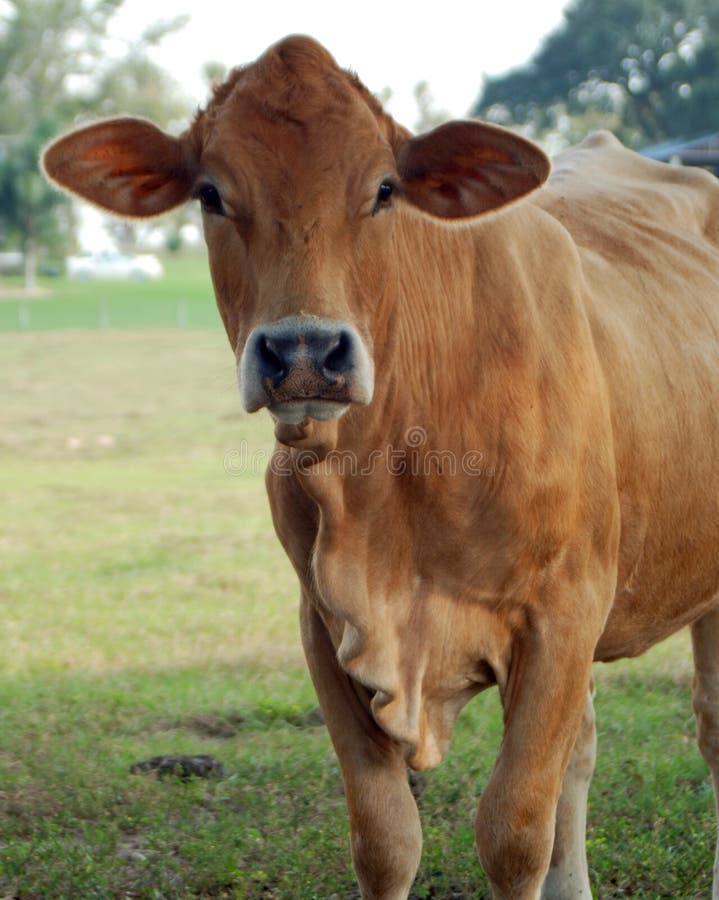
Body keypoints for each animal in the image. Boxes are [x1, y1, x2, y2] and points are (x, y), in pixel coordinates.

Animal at [42, 35, 719, 900]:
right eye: (210, 193)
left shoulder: (563, 609)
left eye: (385, 189)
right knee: (583, 750)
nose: (303, 351)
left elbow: (513, 832)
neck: (388, 480)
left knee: (706, 730)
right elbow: (386, 835)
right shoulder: (324, 623)